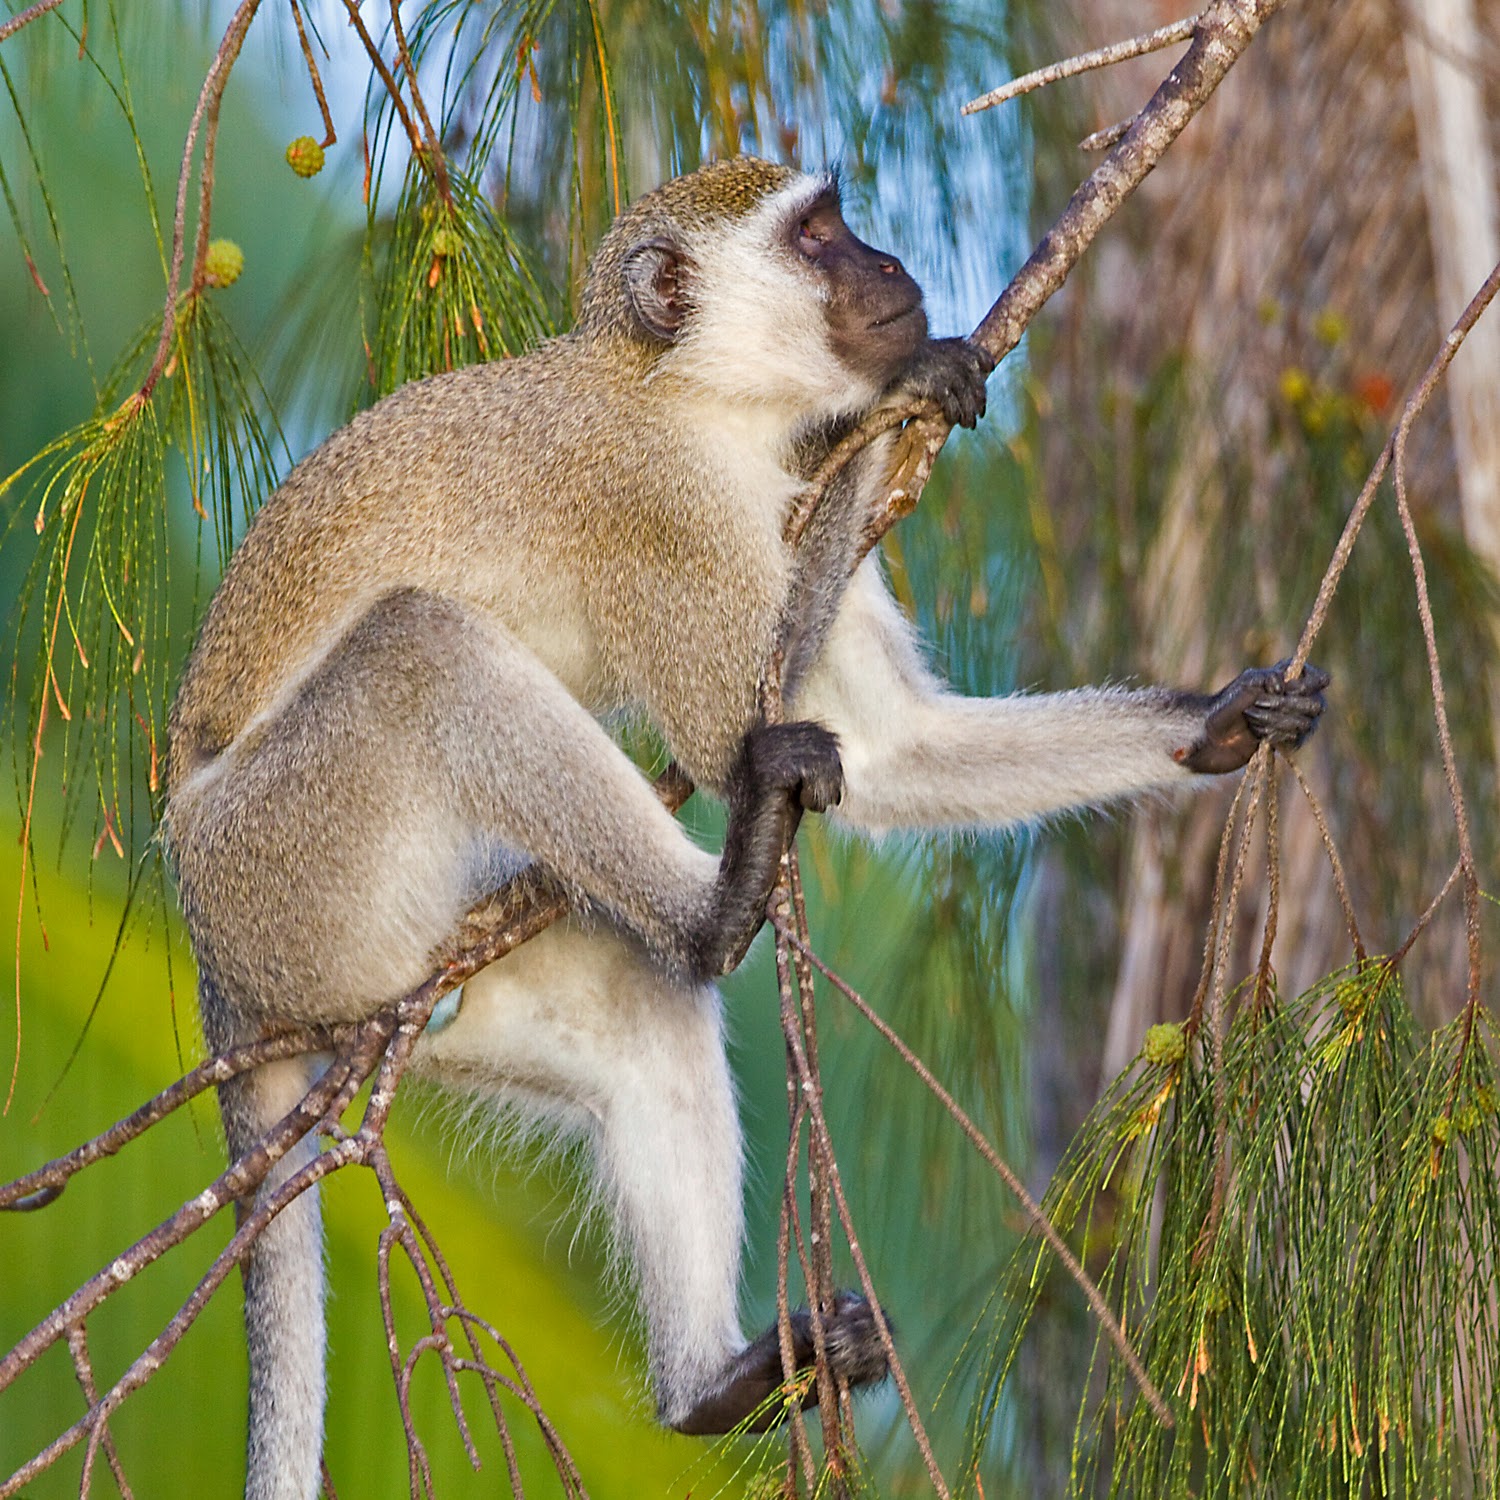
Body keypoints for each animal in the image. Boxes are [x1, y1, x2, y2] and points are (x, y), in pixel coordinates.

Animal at [160, 156, 1328, 1500]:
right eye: (817, 237)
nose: (891, 264)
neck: (696, 398)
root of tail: (217, 954)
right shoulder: (650, 498)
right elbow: (736, 728)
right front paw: (911, 383)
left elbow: (885, 753)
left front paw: (1218, 722)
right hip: (292, 857)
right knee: (422, 646)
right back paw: (716, 911)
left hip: (396, 961)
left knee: (635, 1011)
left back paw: (711, 1386)